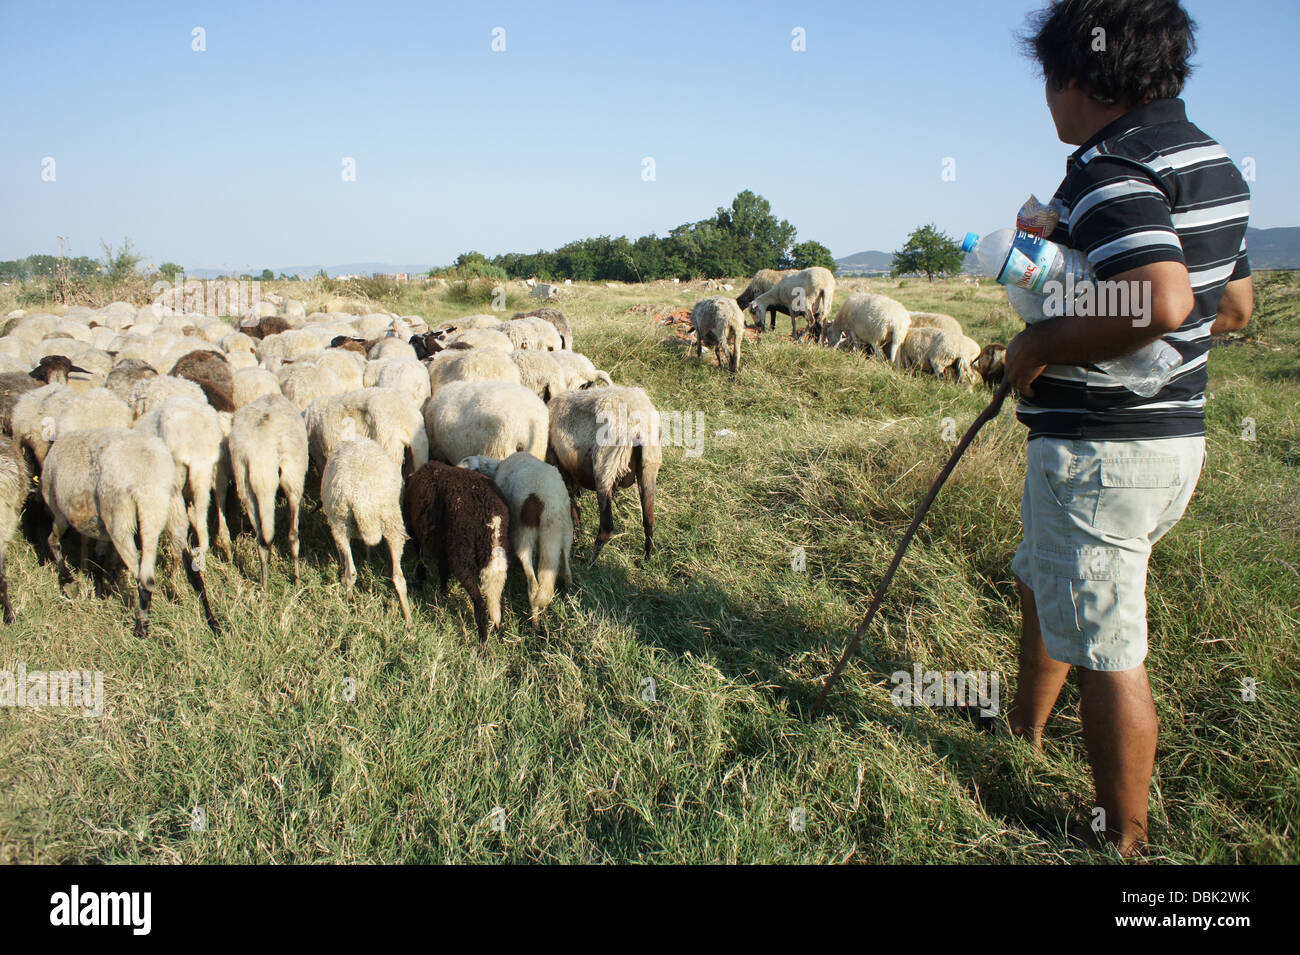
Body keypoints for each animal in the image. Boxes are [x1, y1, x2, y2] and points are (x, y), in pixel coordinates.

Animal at [227, 394, 308, 589]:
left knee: (261, 539)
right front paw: (297, 579)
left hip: (245, 483)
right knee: (290, 534)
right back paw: (296, 580)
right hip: (292, 476)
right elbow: (292, 534)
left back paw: (264, 585)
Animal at [320, 437, 411, 623]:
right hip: (391, 522)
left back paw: (349, 602)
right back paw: (409, 620)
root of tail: (361, 498)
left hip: (340, 522)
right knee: (398, 578)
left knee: (351, 572)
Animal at [403, 460, 509, 646]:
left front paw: (423, 581)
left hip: (462, 556)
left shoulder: (416, 532)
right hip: (495, 556)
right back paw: (499, 633)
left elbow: (421, 559)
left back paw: (483, 645)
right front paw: (443, 594)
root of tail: (492, 519)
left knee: (480, 603)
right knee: (498, 599)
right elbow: (443, 570)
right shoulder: (442, 548)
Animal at [459, 452, 573, 626]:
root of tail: (549, 503)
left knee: (533, 584)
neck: (496, 467)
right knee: (566, 567)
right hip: (566, 528)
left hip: (524, 533)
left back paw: (535, 622)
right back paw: (569, 596)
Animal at [547, 385, 661, 563]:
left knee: (606, 527)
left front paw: (577, 535)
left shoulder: (558, 465)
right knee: (649, 520)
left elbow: (572, 505)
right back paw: (646, 559)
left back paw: (590, 563)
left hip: (605, 467)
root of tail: (639, 428)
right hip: (649, 467)